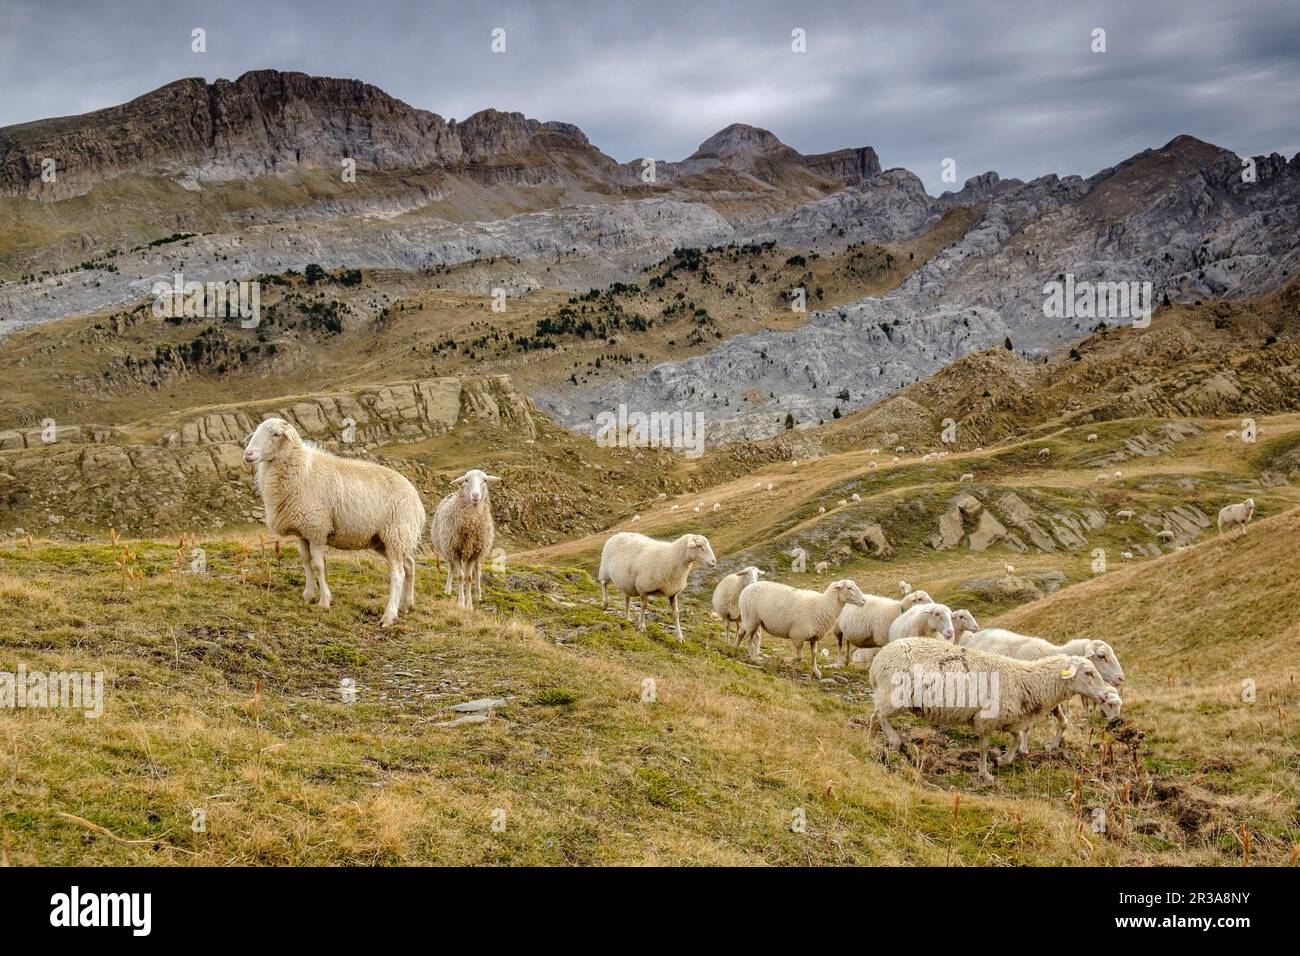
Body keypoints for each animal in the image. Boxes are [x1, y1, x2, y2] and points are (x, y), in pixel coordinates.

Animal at [243, 418, 426, 628]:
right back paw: (406, 605)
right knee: (410, 565)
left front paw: (324, 601)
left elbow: (318, 565)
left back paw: (389, 616)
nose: (247, 454)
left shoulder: (317, 530)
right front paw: (308, 595)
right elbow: (305, 561)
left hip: (395, 533)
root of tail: (416, 499)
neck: (301, 469)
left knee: (398, 575)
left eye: (276, 434)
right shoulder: (303, 532)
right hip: (387, 540)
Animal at [431, 469, 500, 612]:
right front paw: (461, 603)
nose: (475, 495)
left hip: (478, 552)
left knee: (478, 569)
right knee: (451, 568)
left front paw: (469, 605)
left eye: (485, 480)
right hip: (447, 549)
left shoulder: (474, 553)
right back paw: (448, 590)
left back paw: (478, 594)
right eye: (466, 480)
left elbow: (469, 577)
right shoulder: (455, 550)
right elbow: (461, 576)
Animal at [738, 579, 867, 679]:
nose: (864, 601)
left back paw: (735, 647)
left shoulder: (814, 637)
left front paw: (816, 671)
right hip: (752, 618)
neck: (823, 605)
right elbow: (800, 657)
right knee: (748, 637)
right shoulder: (797, 636)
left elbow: (814, 654)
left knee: (741, 633)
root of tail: (747, 588)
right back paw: (753, 658)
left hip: (748, 618)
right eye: (849, 588)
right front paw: (786, 661)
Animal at [868, 638, 1112, 784]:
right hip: (894, 695)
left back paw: (872, 742)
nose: (1105, 696)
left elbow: (1017, 738)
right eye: (1088, 672)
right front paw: (986, 774)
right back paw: (890, 742)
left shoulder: (1007, 719)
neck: (1026, 680)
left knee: (876, 716)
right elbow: (984, 747)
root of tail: (878, 660)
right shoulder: (986, 719)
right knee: (879, 715)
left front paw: (1003, 760)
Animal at [958, 627, 1126, 751]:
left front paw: (1053, 746)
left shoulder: (1051, 699)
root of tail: (974, 636)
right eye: (1101, 655)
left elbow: (1064, 722)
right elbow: (1027, 726)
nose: (1121, 678)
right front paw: (1023, 749)